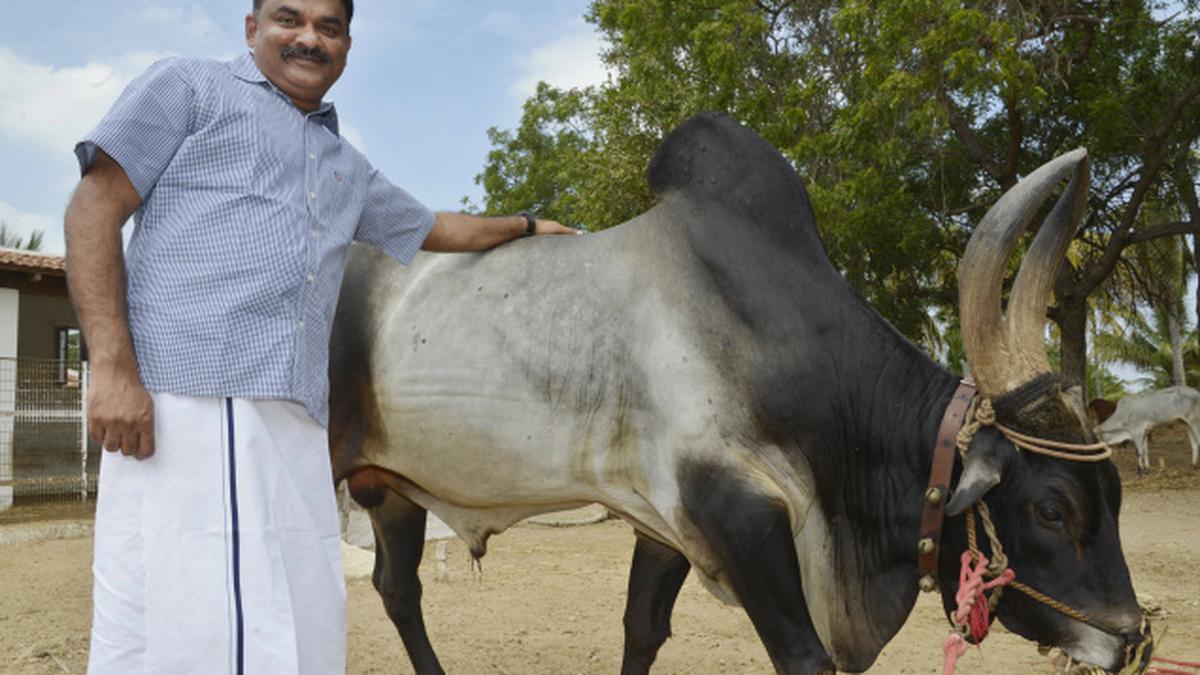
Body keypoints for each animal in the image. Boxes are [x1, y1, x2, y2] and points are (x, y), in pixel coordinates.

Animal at [329, 113, 1151, 674]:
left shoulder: (664, 524)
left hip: (391, 489)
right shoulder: (736, 513)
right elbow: (805, 657)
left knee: (397, 589)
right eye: (1051, 508)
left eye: (1114, 495)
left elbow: (642, 630)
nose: (1132, 638)